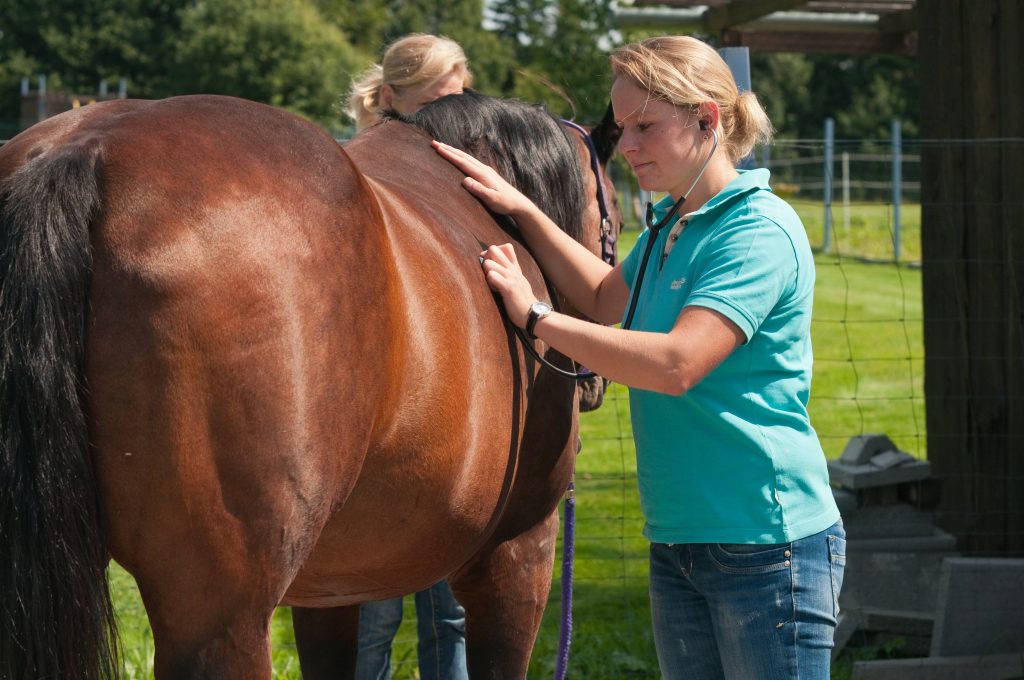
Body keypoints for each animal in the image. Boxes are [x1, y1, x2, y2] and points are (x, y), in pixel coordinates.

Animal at [0, 90, 621, 679]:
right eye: (613, 212)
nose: (594, 387)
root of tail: (81, 150)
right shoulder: (518, 553)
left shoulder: (328, 587)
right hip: (220, 615)